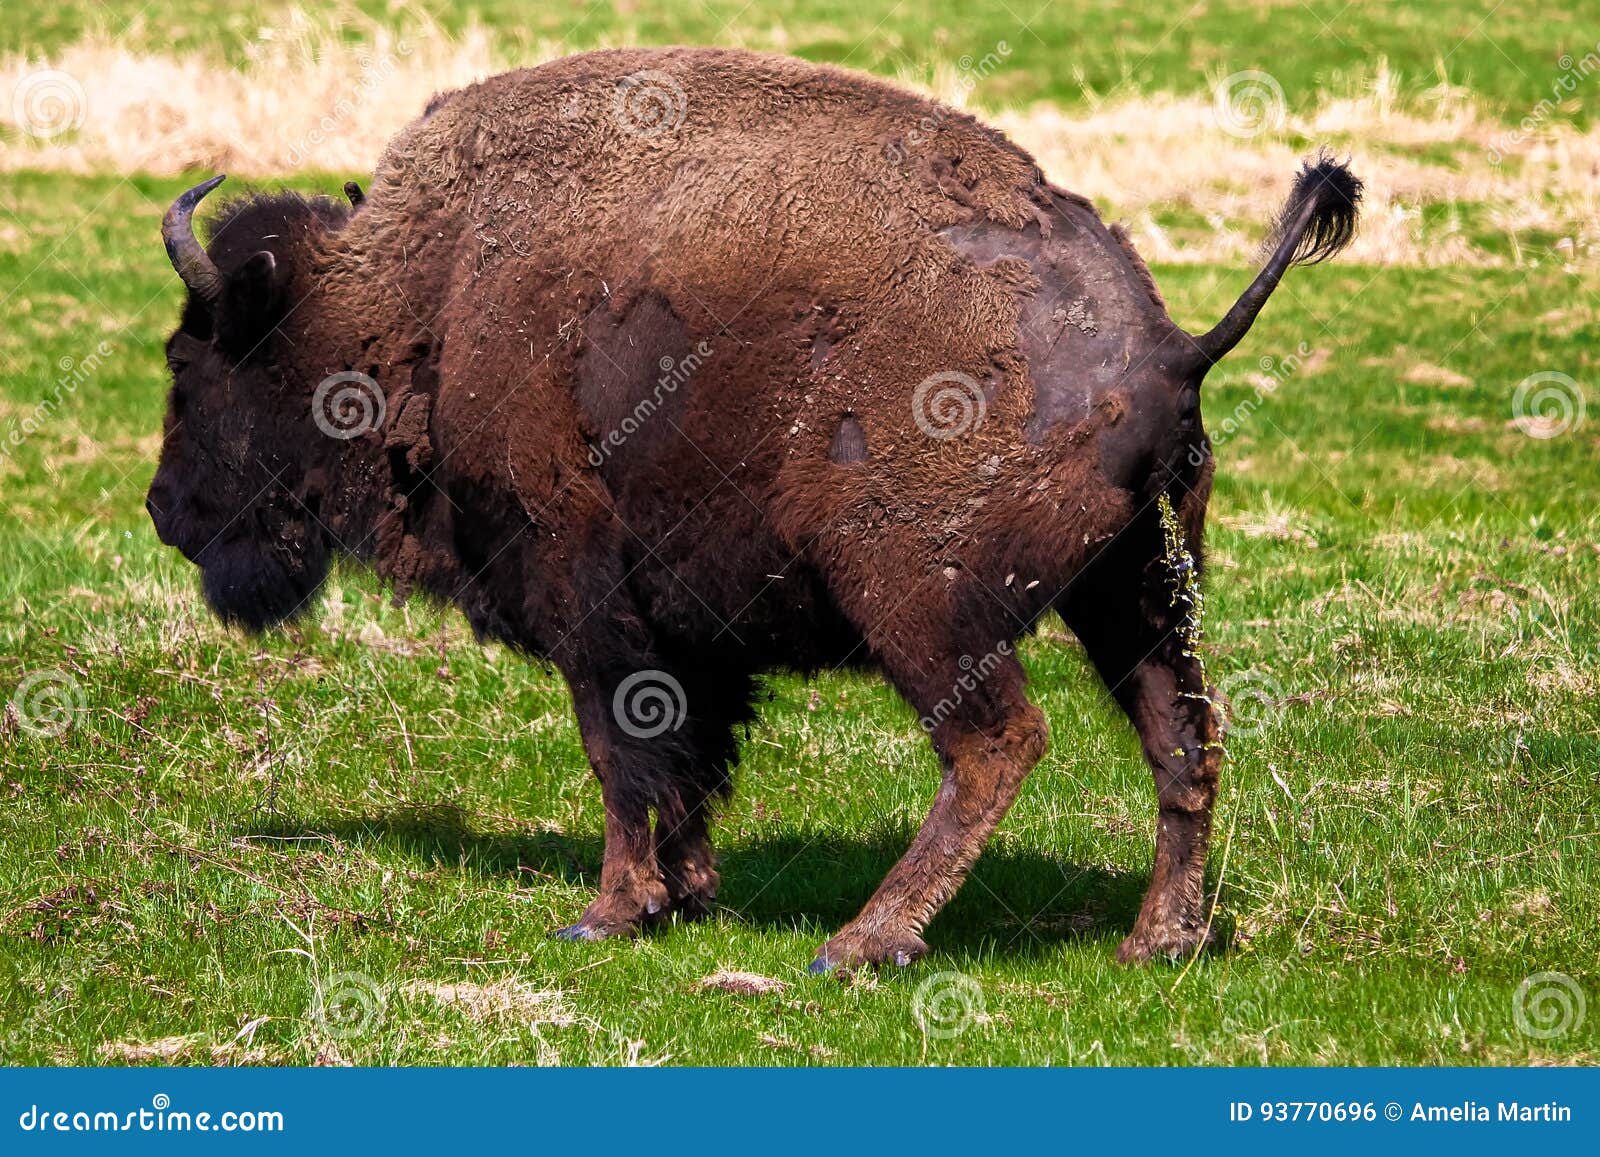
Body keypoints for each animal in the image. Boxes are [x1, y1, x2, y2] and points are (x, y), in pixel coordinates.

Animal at [146, 47, 1360, 972]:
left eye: (194, 364)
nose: (163, 511)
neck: (428, 292)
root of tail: (1167, 346)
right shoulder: (679, 633)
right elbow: (686, 756)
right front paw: (685, 894)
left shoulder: (584, 594)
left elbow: (621, 752)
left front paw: (608, 912)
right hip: (1132, 591)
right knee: (1183, 737)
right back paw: (1157, 941)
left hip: (919, 604)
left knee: (998, 743)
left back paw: (861, 943)